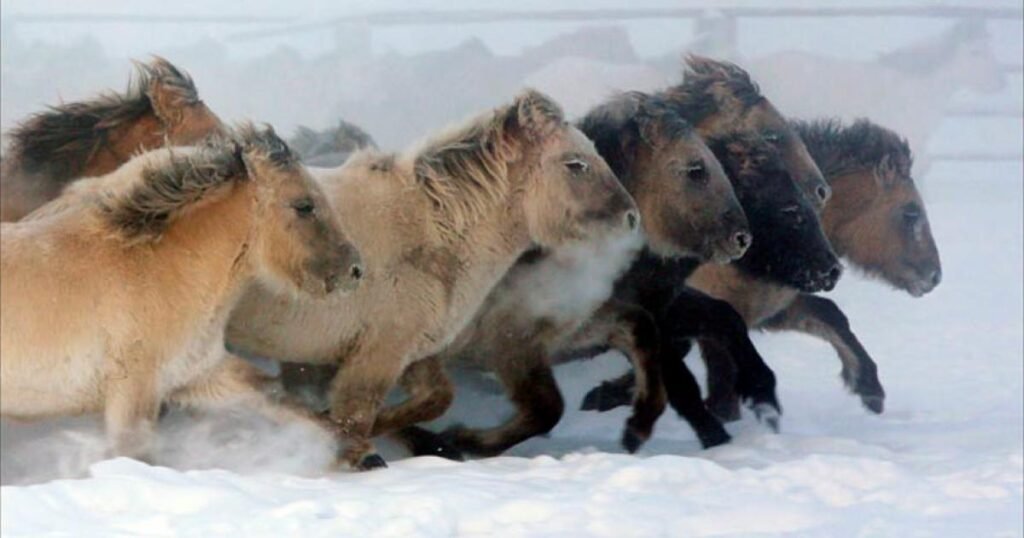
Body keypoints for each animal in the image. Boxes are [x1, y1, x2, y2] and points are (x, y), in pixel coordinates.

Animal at [0, 126, 362, 463]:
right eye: (304, 205)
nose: (355, 269)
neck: (162, 267)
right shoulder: (133, 393)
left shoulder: (199, 374)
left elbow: (274, 394)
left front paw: (353, 453)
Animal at [224, 90, 639, 470]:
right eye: (575, 163)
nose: (631, 217)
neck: (431, 229)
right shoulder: (379, 353)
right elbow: (355, 414)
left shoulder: (413, 351)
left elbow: (436, 398)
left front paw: (445, 439)